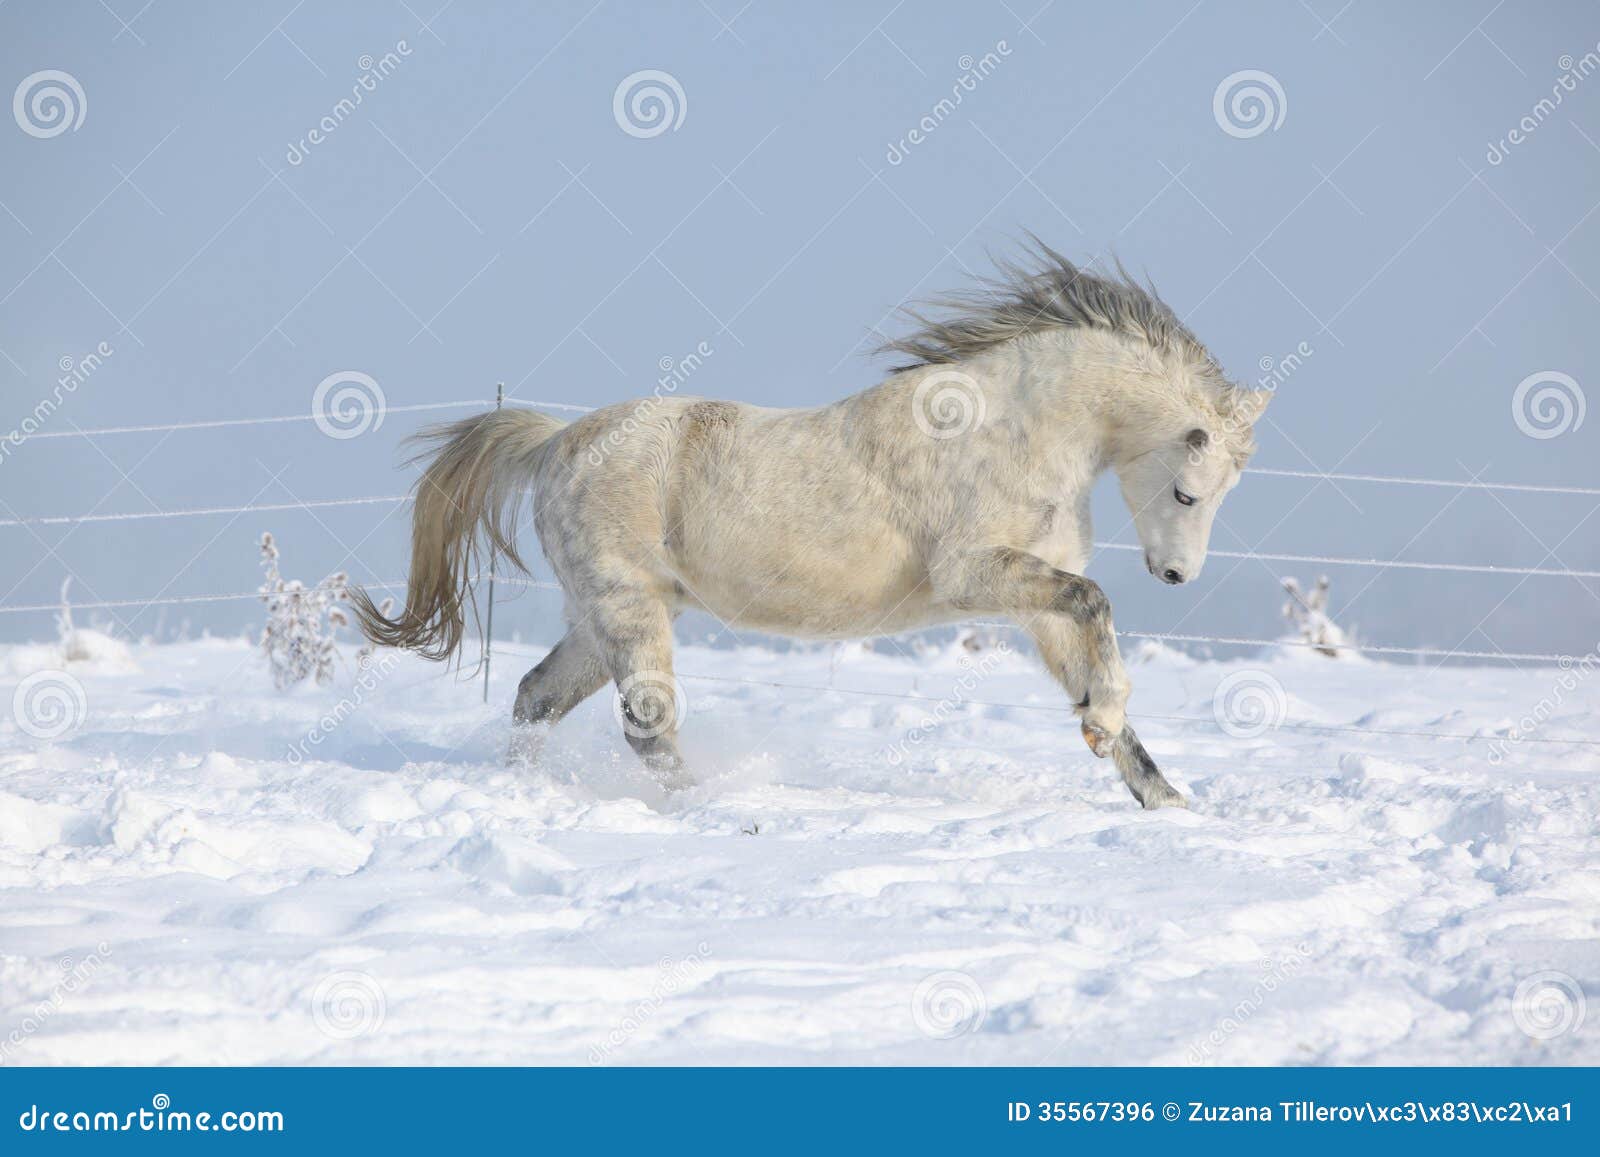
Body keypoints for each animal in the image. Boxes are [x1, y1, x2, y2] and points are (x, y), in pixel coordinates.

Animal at [352, 243, 1269, 809]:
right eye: (1190, 491)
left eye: (1223, 490)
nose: (1177, 575)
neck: (1015, 424)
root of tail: (554, 443)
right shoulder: (975, 575)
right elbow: (1096, 603)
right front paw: (1105, 726)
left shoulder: (1031, 599)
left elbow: (1096, 658)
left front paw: (1161, 793)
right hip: (627, 612)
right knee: (646, 725)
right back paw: (716, 808)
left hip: (601, 617)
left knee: (535, 696)